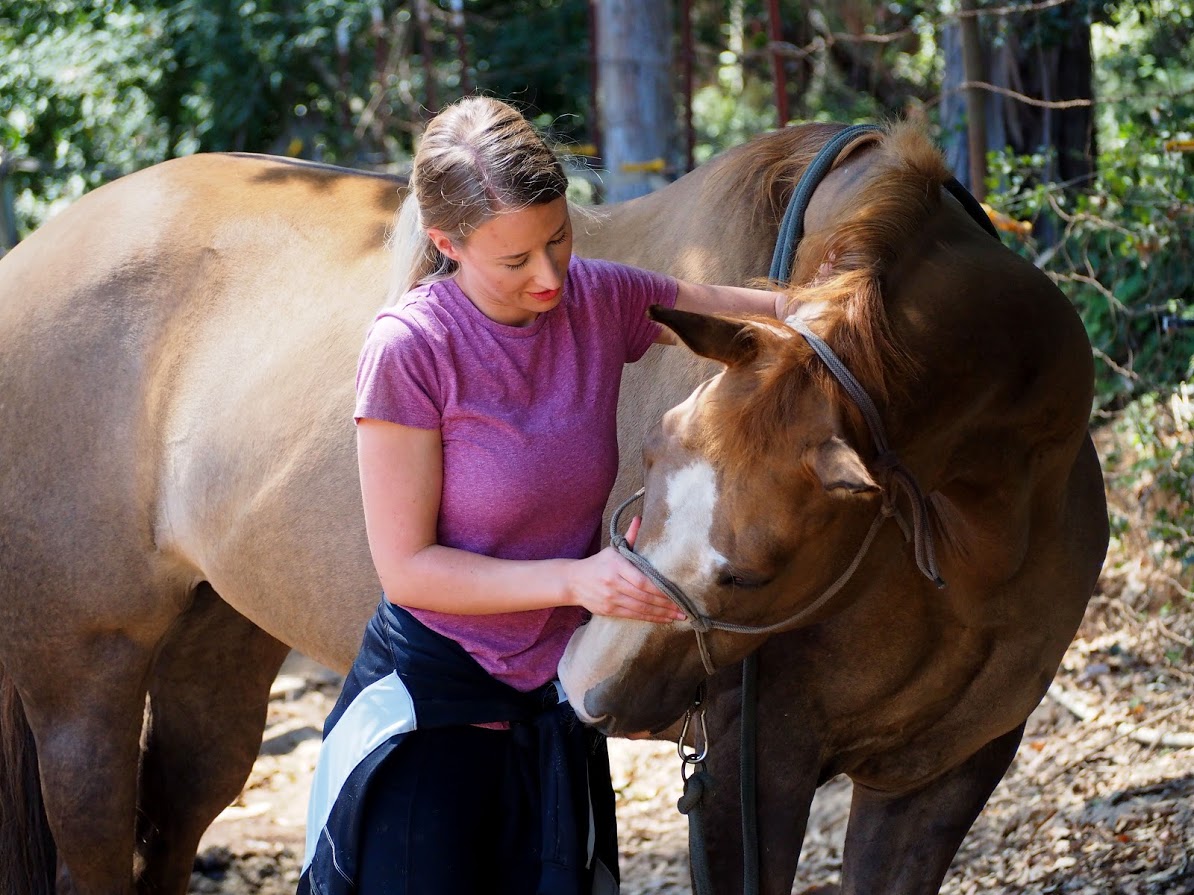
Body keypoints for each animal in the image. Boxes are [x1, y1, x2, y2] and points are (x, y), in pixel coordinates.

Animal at [0, 121, 1106, 895]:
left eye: (754, 567)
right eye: (652, 455)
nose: (582, 683)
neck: (981, 530)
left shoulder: (947, 770)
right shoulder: (749, 772)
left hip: (216, 646)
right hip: (81, 672)